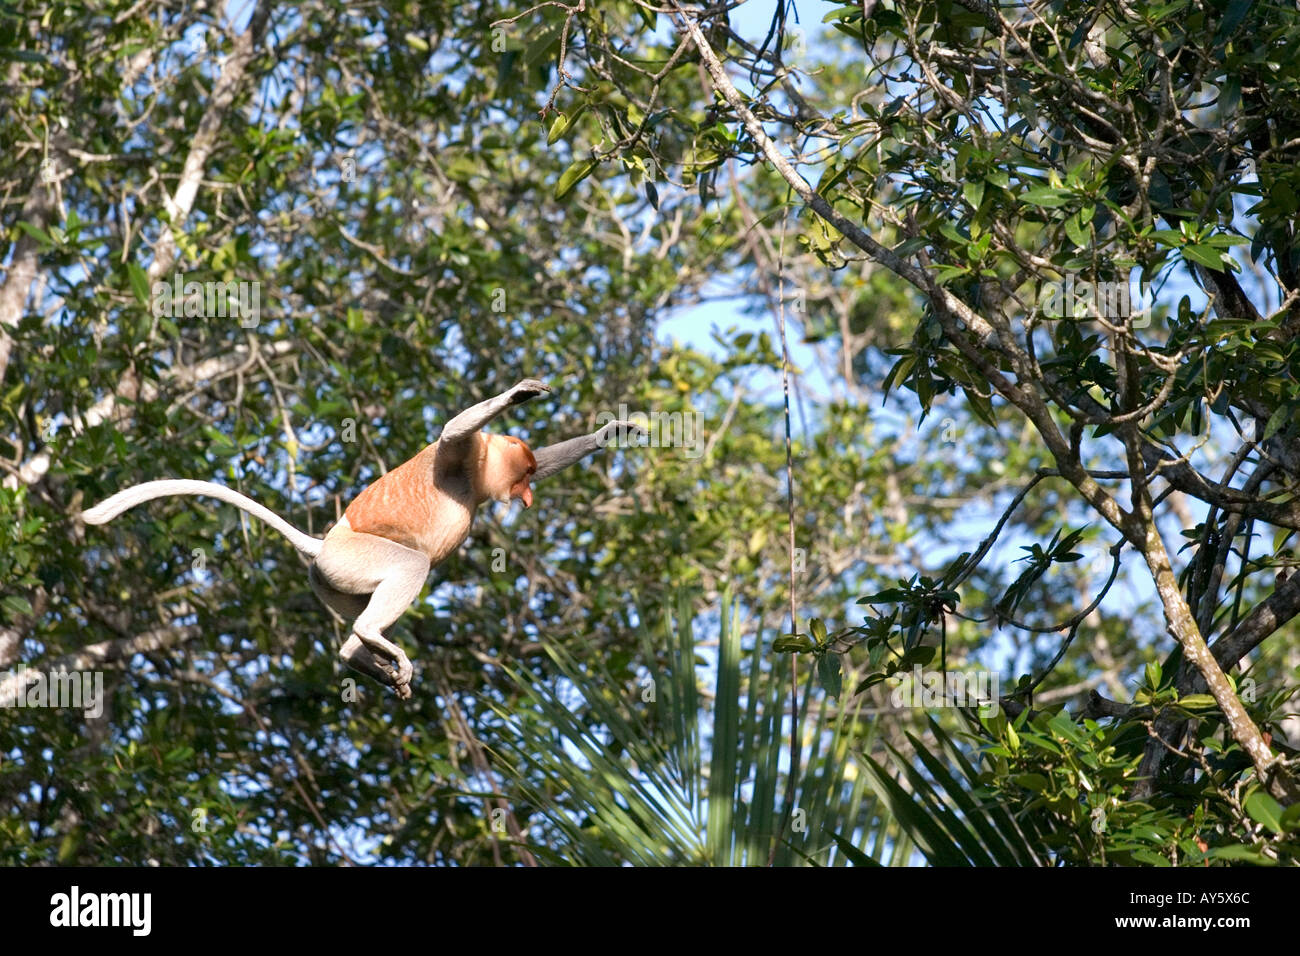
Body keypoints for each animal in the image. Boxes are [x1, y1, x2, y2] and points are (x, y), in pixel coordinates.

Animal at [81, 379, 641, 699]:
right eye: (521, 477)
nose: (524, 497)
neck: (477, 473)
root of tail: (322, 544)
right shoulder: (461, 456)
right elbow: (453, 429)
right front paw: (519, 394)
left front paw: (610, 433)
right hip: (353, 559)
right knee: (411, 566)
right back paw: (372, 640)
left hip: (329, 581)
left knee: (356, 618)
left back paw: (358, 653)